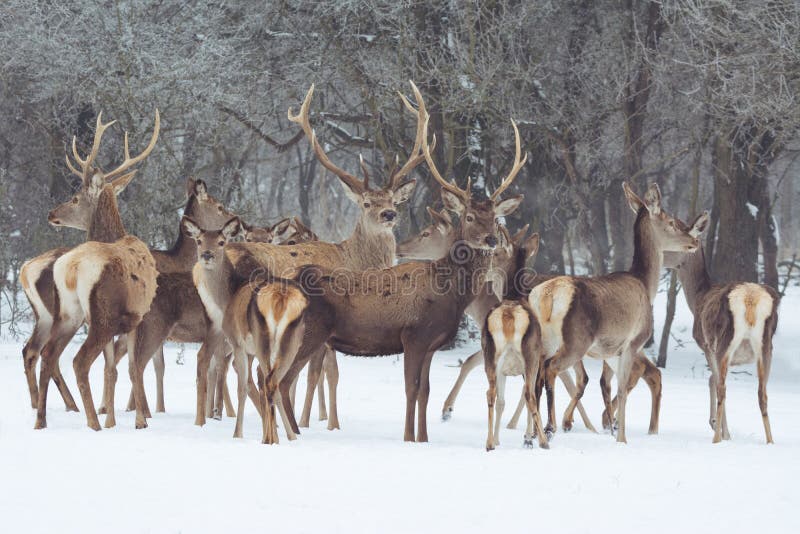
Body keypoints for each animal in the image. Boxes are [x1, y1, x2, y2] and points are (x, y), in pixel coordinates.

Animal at [34, 110, 160, 431]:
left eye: (75, 198)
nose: (51, 214)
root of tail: (73, 266)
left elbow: (112, 369)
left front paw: (114, 419)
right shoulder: (139, 315)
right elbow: (131, 368)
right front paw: (139, 421)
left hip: (70, 313)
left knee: (47, 354)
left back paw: (41, 421)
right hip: (102, 316)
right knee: (79, 361)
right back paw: (92, 422)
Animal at [213, 81, 427, 433]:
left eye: (392, 199)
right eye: (366, 203)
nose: (389, 214)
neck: (354, 260)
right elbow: (327, 373)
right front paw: (328, 423)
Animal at [267, 103, 526, 442]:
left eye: (495, 218)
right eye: (469, 216)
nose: (491, 240)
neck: (449, 293)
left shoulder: (430, 344)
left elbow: (425, 392)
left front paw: (423, 438)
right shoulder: (413, 335)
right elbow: (411, 390)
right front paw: (408, 438)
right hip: (309, 332)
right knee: (282, 380)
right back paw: (294, 434)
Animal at [527, 182, 704, 443]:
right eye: (672, 222)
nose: (695, 241)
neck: (645, 284)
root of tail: (548, 297)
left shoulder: (611, 351)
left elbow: (612, 386)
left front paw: (612, 429)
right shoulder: (633, 342)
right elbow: (621, 390)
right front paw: (621, 438)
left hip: (543, 341)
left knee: (533, 379)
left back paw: (531, 435)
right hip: (576, 341)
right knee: (551, 369)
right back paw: (549, 428)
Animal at [661, 214, 779, 443]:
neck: (697, 297)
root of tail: (750, 299)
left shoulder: (706, 344)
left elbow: (713, 381)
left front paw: (721, 429)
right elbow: (710, 379)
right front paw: (721, 427)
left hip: (726, 340)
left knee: (723, 388)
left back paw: (716, 440)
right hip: (766, 347)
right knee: (762, 394)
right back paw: (770, 441)